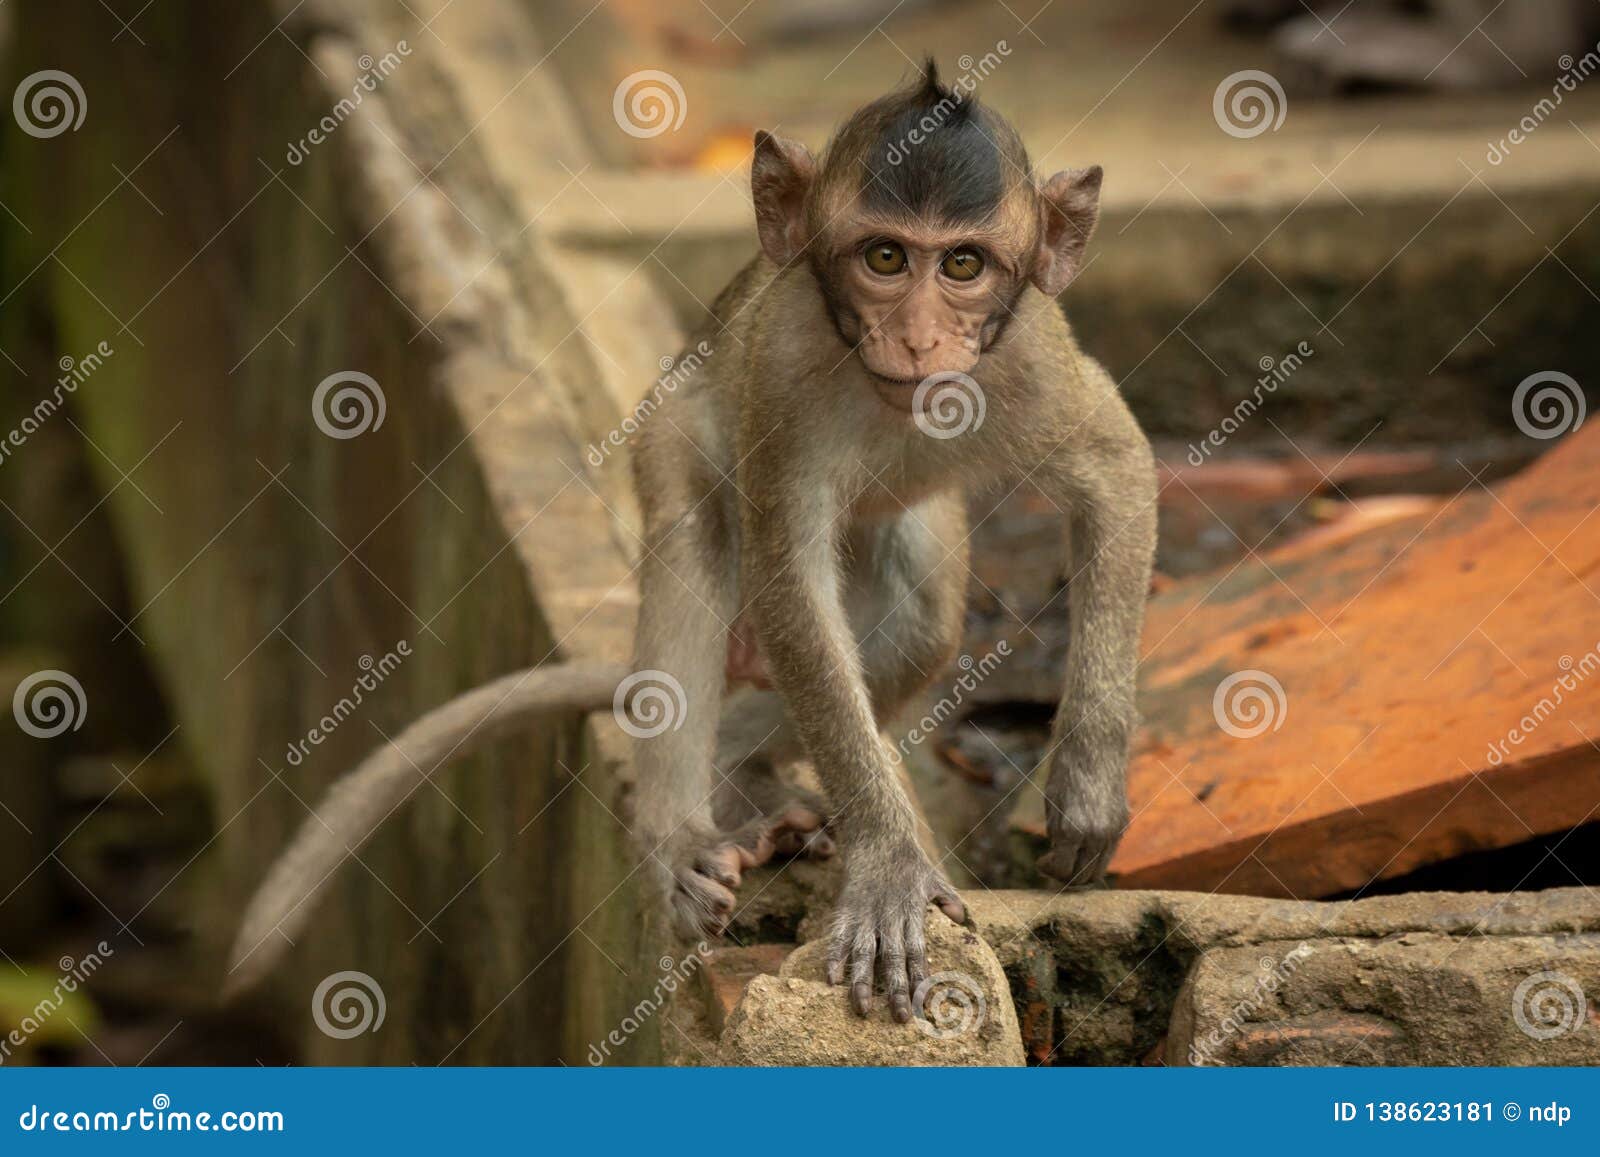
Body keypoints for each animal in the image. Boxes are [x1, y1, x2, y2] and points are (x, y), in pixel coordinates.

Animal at [226, 61, 1157, 1022]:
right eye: (886, 258)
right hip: (669, 440)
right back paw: (691, 820)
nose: (919, 336)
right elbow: (792, 591)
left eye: (964, 264)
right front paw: (891, 864)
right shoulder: (786, 370)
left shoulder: (1032, 355)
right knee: (701, 546)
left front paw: (1087, 782)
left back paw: (751, 767)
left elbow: (1115, 472)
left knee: (924, 621)